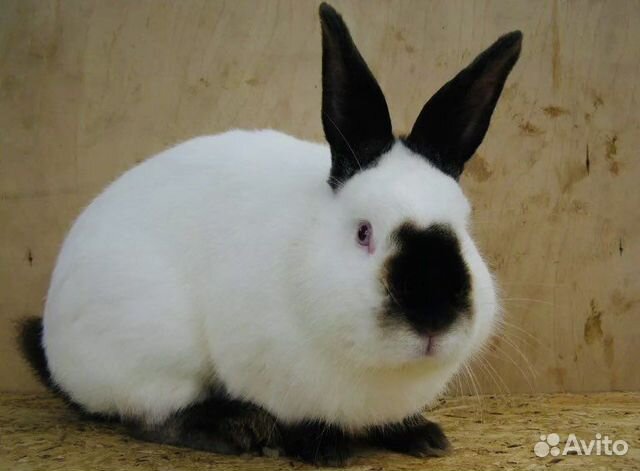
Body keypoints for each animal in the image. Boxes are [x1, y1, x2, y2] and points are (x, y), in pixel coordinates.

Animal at [18, 2, 522, 466]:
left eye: (464, 228)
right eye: (363, 233)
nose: (433, 321)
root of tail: (56, 354)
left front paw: (424, 437)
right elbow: (297, 418)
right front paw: (325, 449)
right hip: (154, 349)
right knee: (147, 416)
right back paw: (236, 430)